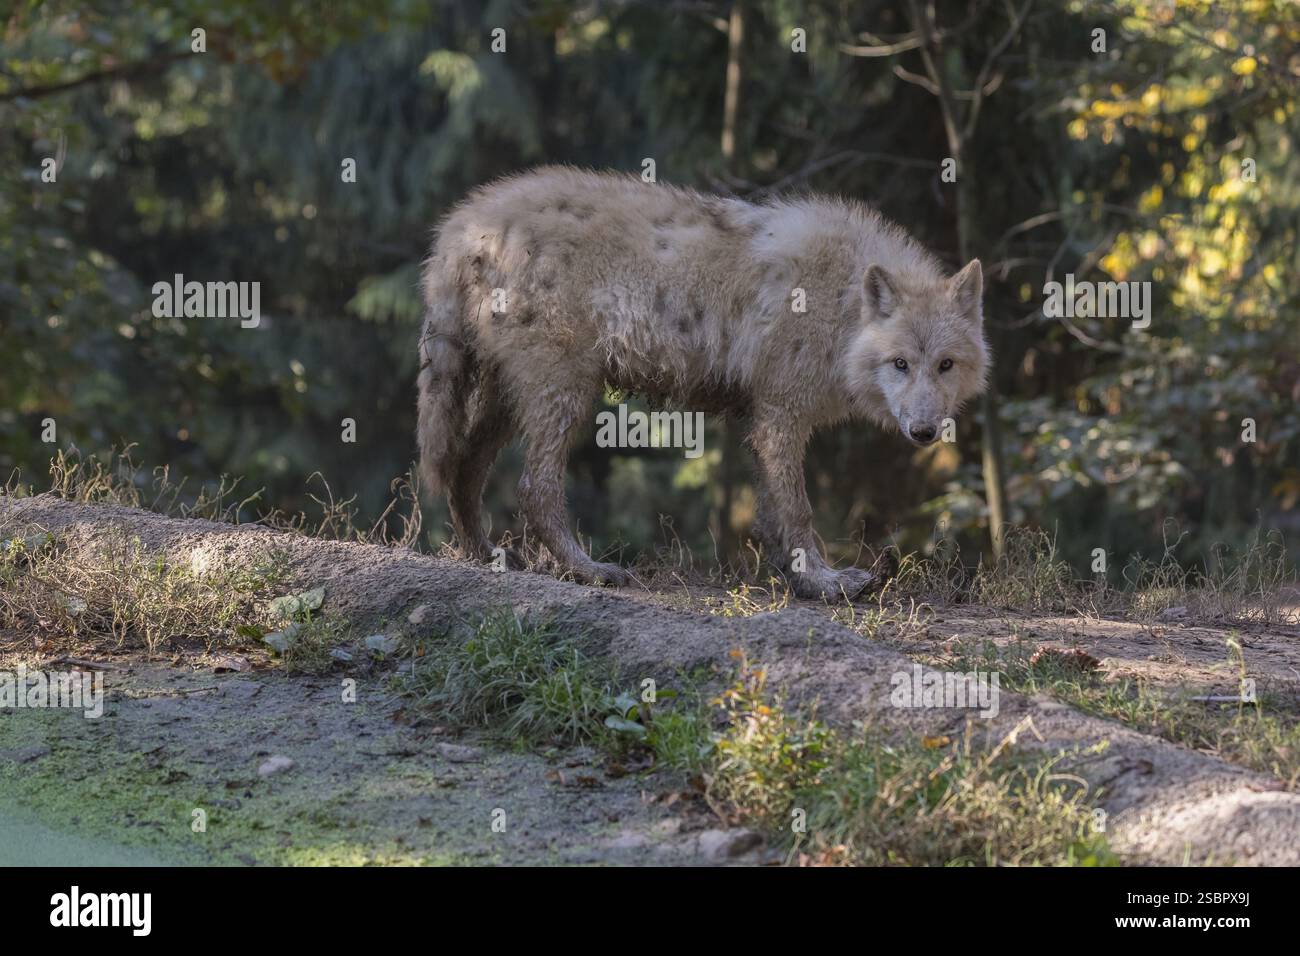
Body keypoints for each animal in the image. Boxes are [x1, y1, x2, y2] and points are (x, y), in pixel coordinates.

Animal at [417, 167, 989, 598]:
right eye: (900, 364)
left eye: (945, 365)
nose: (924, 433)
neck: (842, 304)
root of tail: (463, 225)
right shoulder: (780, 418)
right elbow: (799, 511)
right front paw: (824, 583)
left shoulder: (763, 422)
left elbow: (774, 517)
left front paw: (796, 580)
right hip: (566, 396)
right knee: (534, 489)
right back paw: (588, 571)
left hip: (511, 403)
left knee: (464, 470)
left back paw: (486, 556)